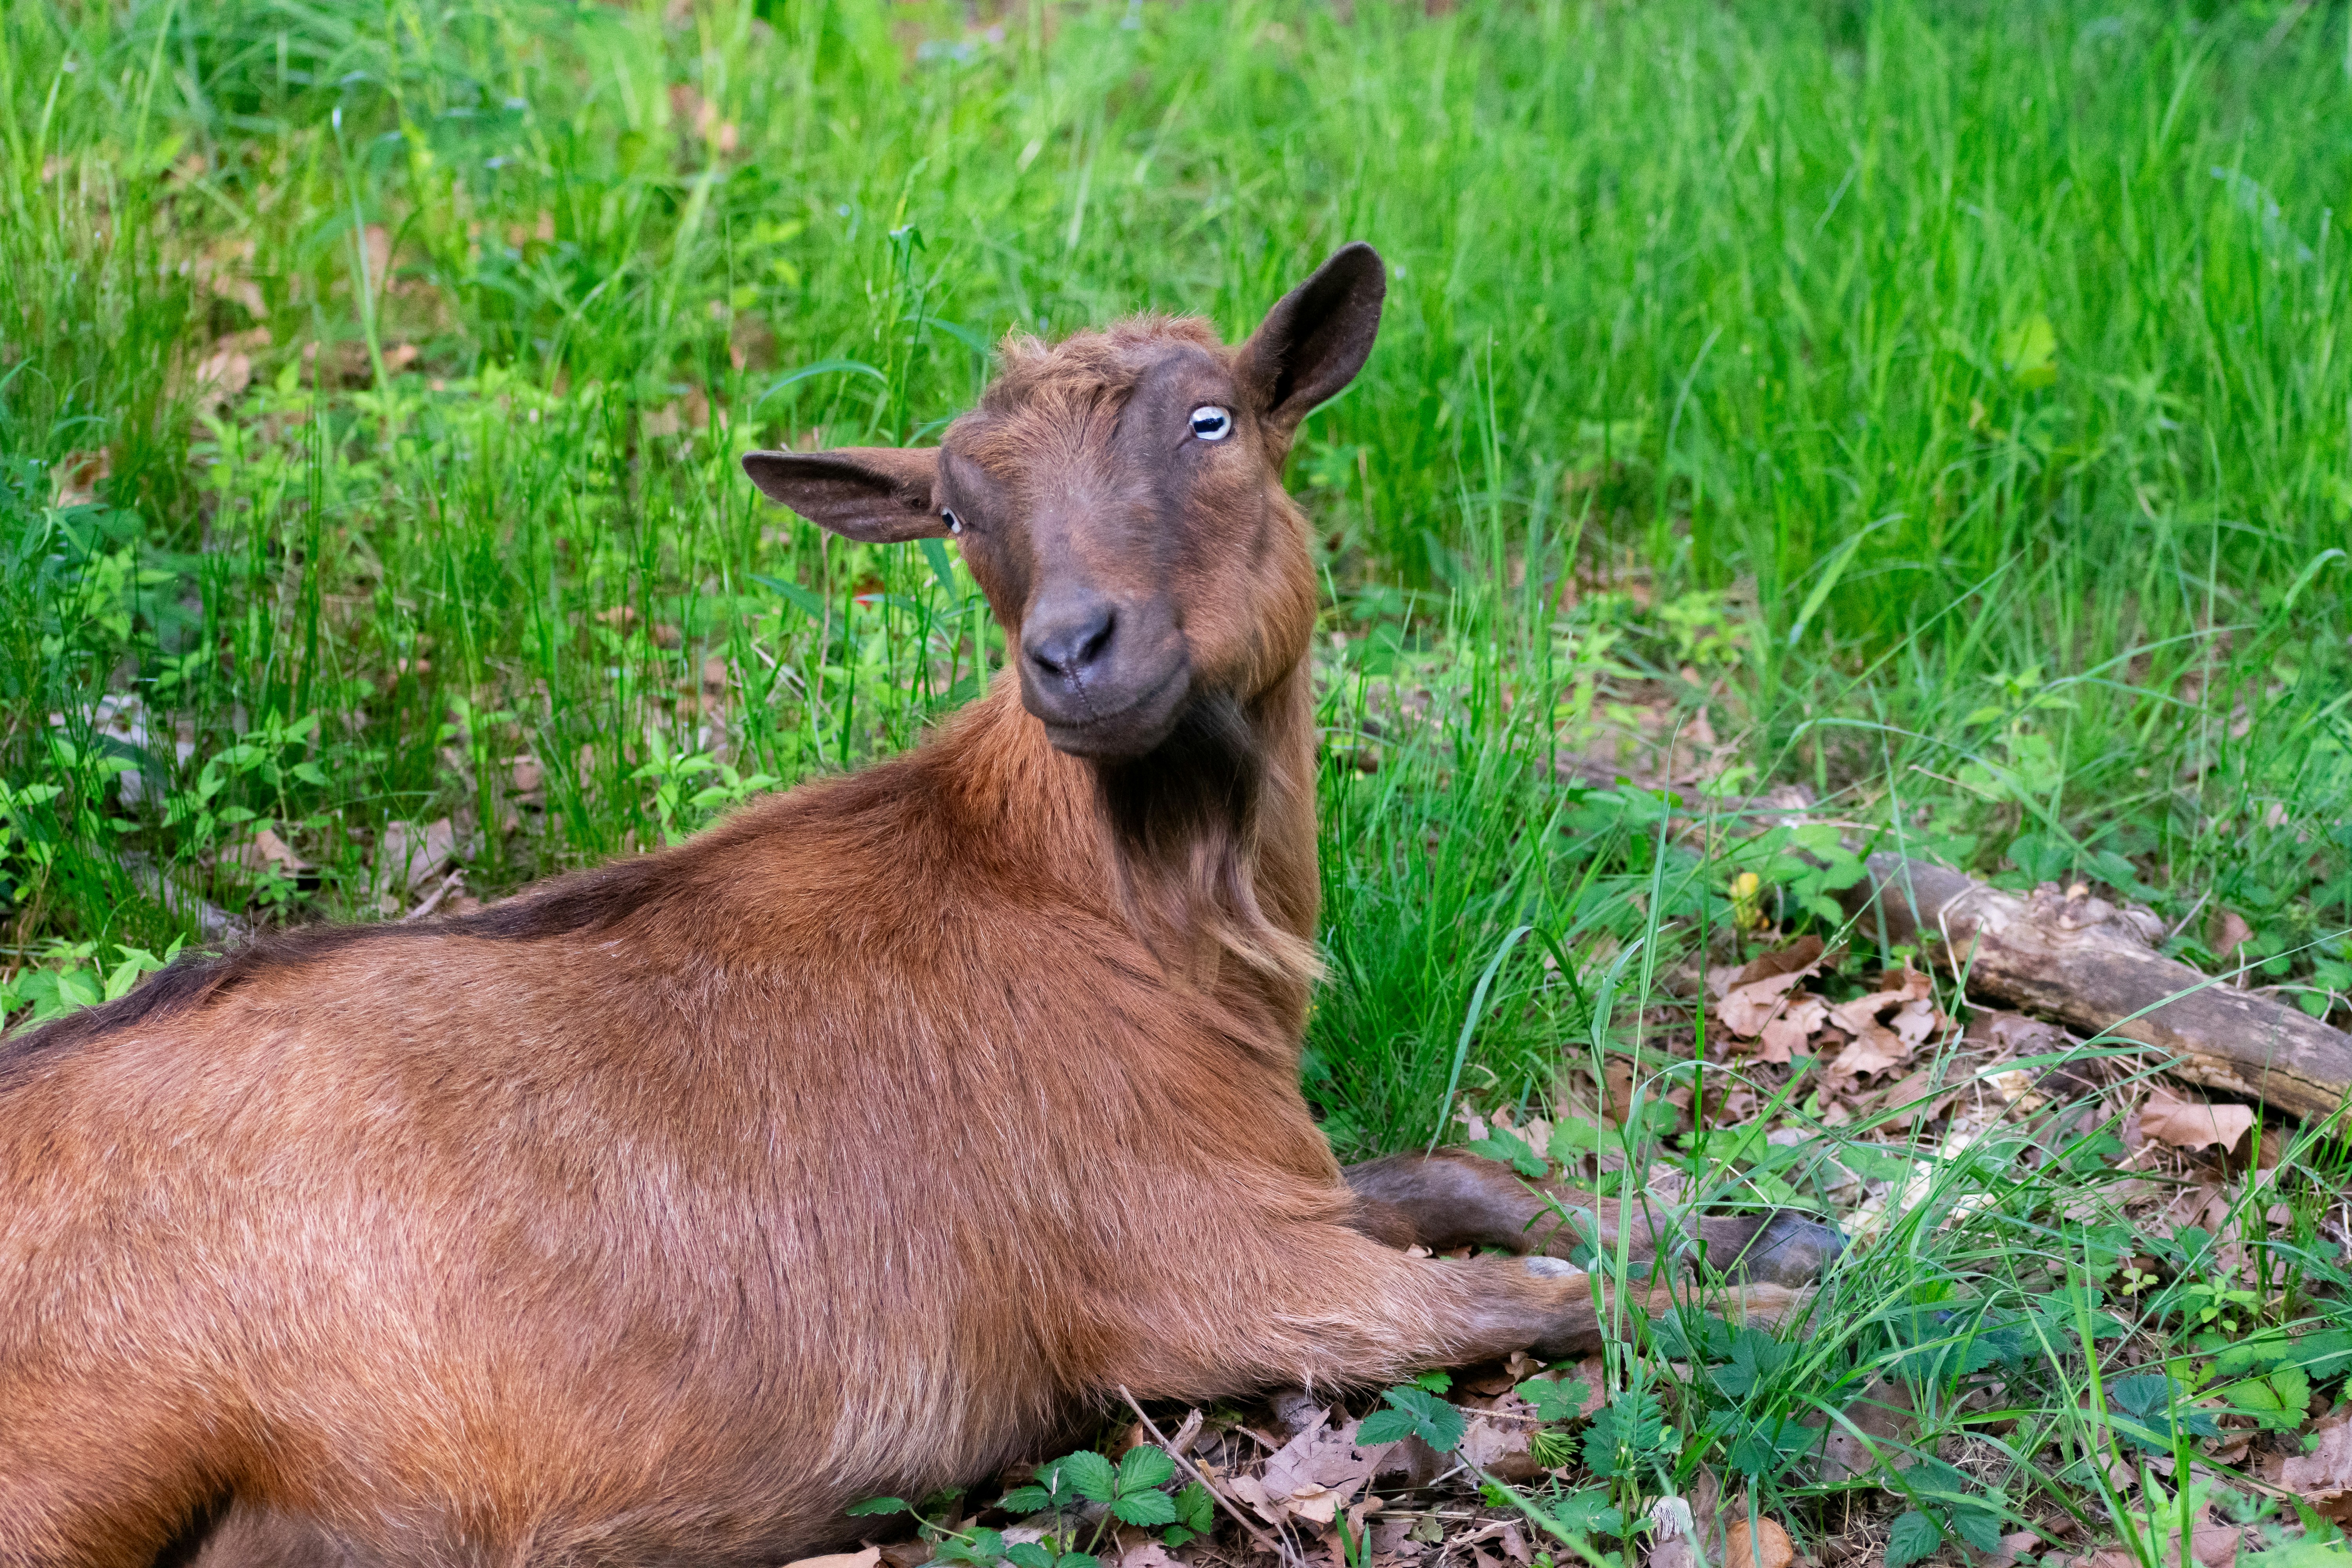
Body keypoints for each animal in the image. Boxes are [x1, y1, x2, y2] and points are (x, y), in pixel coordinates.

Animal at [0, 244, 1833, 1568]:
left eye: (1213, 421)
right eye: (957, 505)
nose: (1075, 649)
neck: (1133, 919)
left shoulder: (1264, 1173)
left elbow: (1472, 1179)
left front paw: (1782, 1230)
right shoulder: (1195, 1273)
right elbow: (1536, 1296)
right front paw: (1819, 1312)